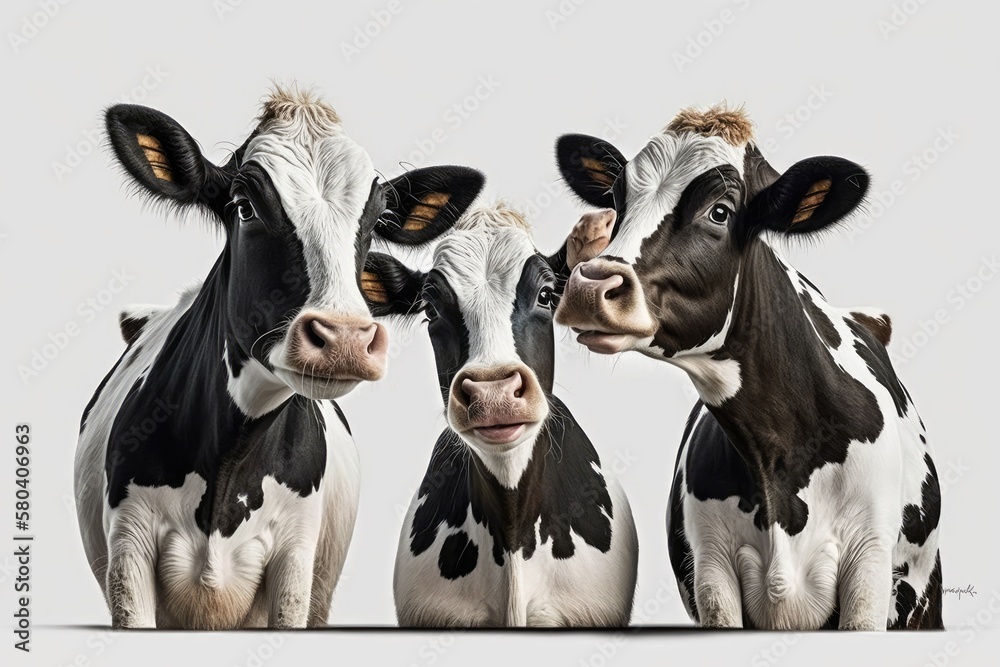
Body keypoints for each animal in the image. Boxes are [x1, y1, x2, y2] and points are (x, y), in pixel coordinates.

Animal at [74, 87, 485, 629]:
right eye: (244, 207)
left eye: (377, 221)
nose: (345, 337)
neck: (228, 466)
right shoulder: (128, 548)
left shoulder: (296, 558)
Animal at [552, 105, 942, 630]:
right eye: (617, 201)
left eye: (720, 211)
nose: (589, 287)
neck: (781, 451)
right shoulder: (711, 569)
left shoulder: (871, 564)